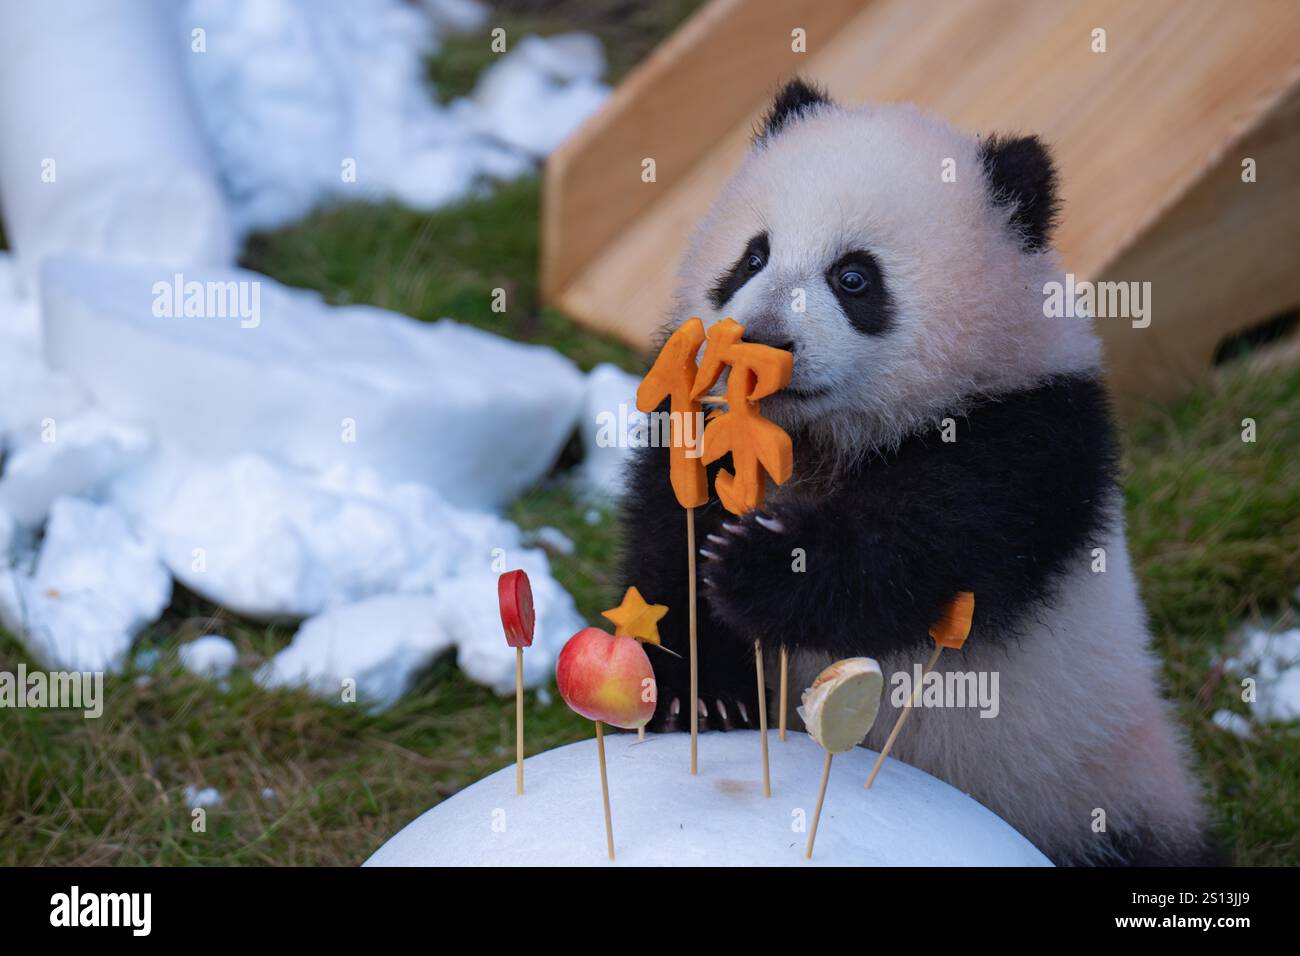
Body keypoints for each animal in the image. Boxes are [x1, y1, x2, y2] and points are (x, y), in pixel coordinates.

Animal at [618, 80, 1214, 866]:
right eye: (752, 258)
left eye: (854, 277)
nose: (760, 343)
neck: (821, 436)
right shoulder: (698, 416)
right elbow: (667, 541)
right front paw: (700, 694)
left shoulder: (1026, 429)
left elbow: (924, 553)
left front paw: (759, 565)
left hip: (1101, 787)